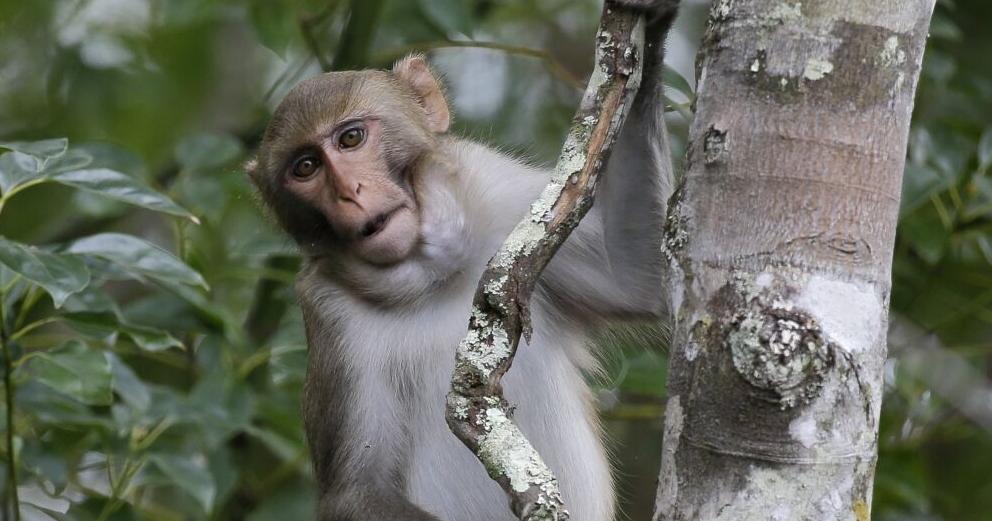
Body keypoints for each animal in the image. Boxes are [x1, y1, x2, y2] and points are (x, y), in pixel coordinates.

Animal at [247, 1, 679, 519]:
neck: (434, 277)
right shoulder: (329, 312)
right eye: (306, 167)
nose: (349, 192)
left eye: (350, 139)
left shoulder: (503, 197)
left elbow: (637, 276)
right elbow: (356, 492)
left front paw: (651, 30)